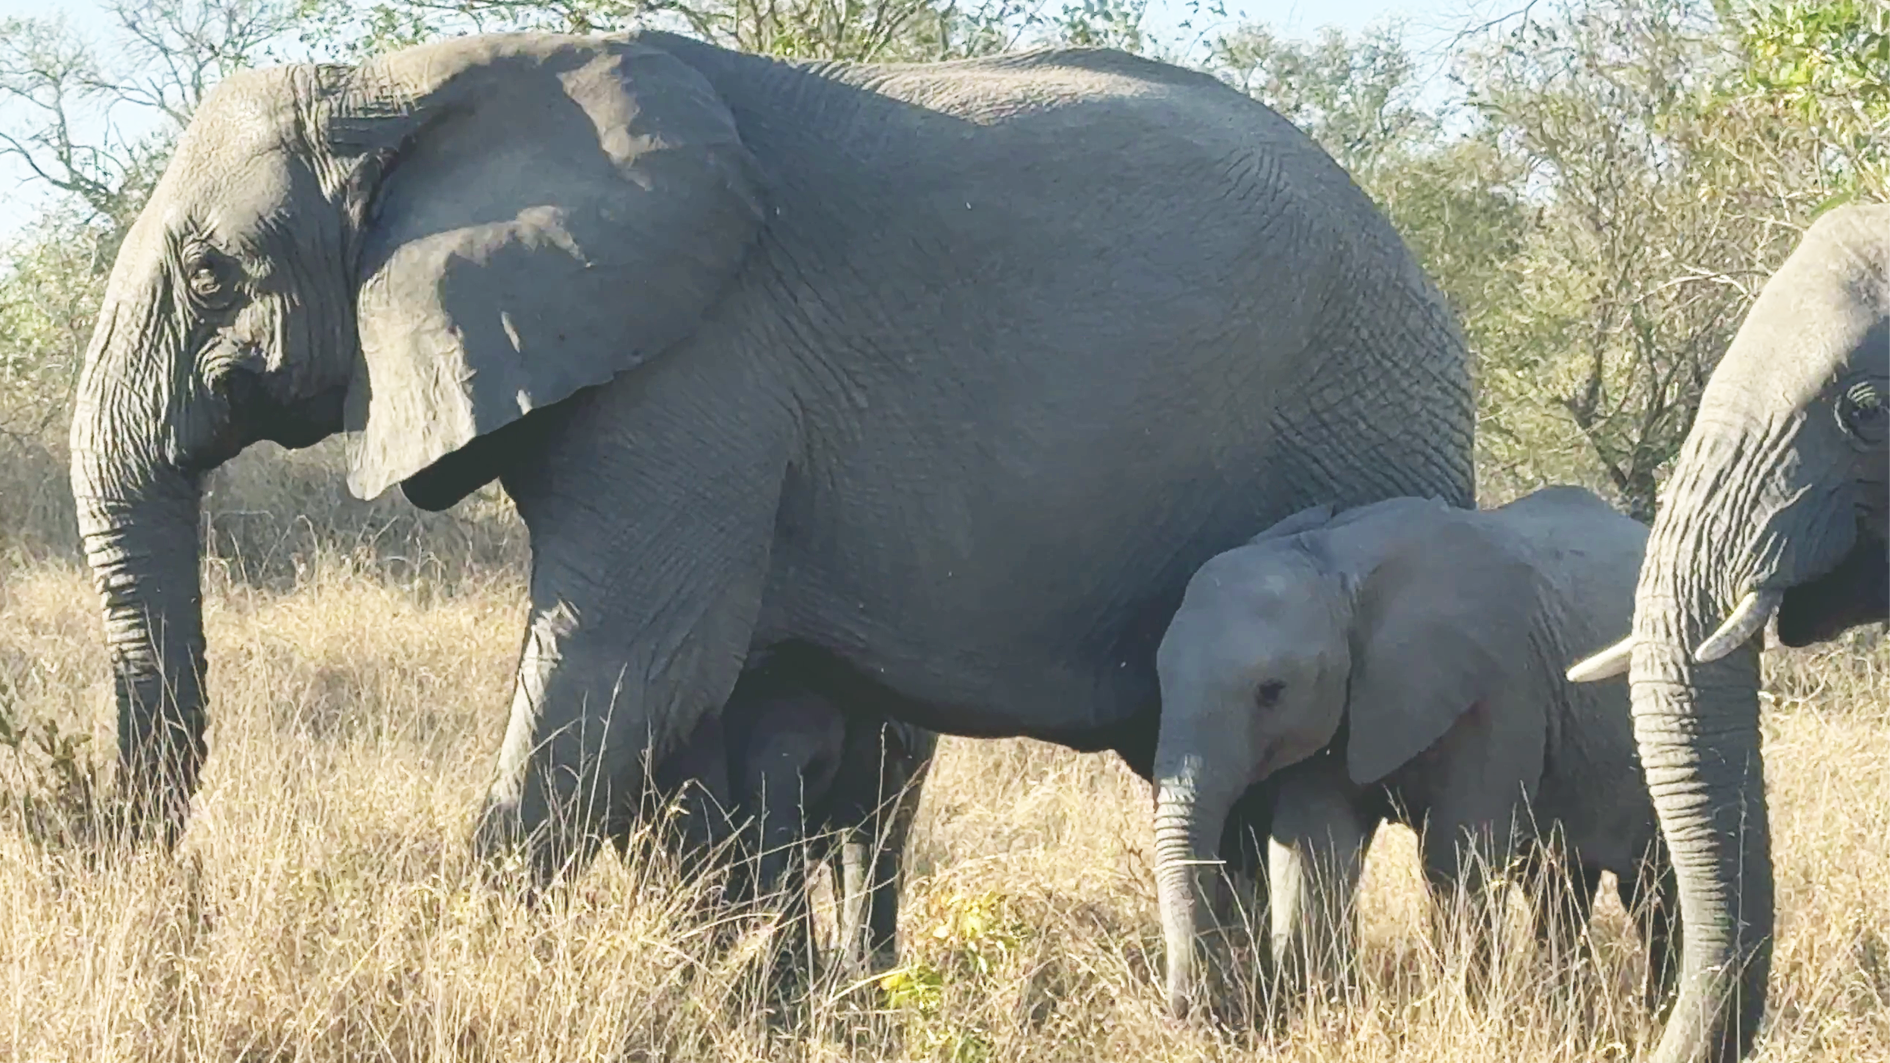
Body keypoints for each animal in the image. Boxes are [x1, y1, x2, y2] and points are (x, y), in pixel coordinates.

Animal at [67, 29, 1475, 895]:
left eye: (212, 274)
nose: (154, 879)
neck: (409, 78)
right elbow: (700, 712)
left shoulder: (701, 368)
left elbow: (627, 663)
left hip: (1359, 431)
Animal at [1153, 487, 1680, 1017]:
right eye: (1158, 678)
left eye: (1271, 691)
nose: (1193, 1009)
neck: (1336, 564)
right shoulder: (1336, 710)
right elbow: (1314, 847)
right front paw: (1321, 1009)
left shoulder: (1501, 689)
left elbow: (1458, 855)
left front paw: (1465, 1008)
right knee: (1571, 885)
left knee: (1656, 888)